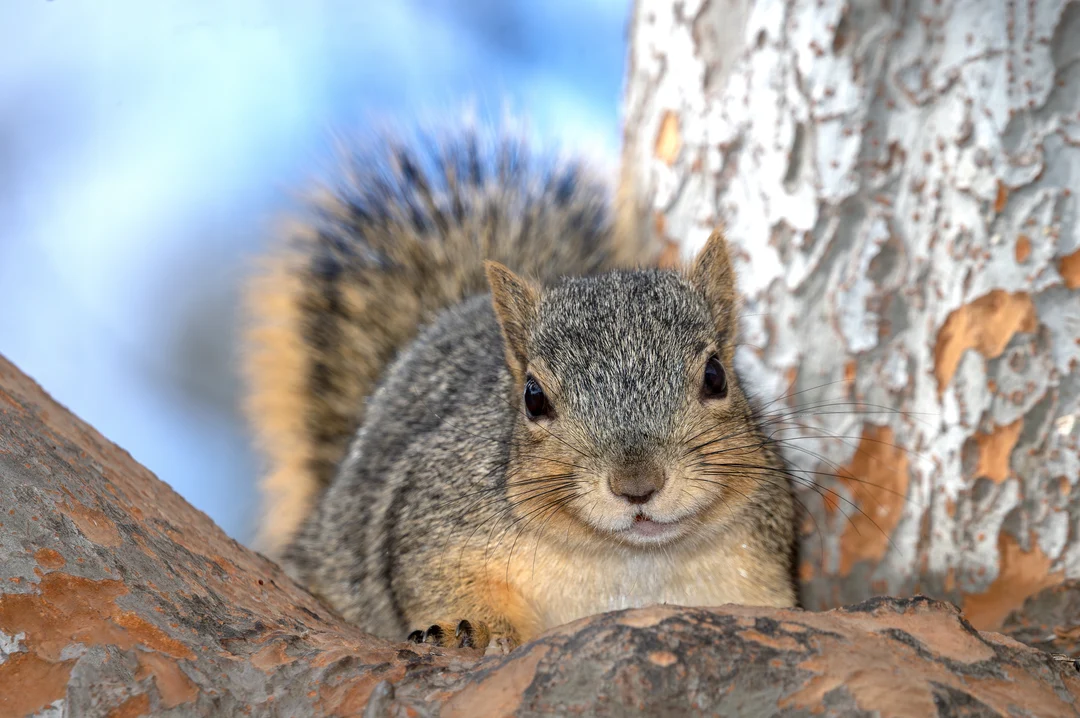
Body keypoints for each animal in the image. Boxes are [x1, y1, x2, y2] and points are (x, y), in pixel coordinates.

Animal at [242, 128, 797, 652]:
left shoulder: (757, 570)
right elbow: (437, 582)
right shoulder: (435, 524)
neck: (631, 560)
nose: (637, 486)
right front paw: (471, 629)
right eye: (533, 397)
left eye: (716, 376)